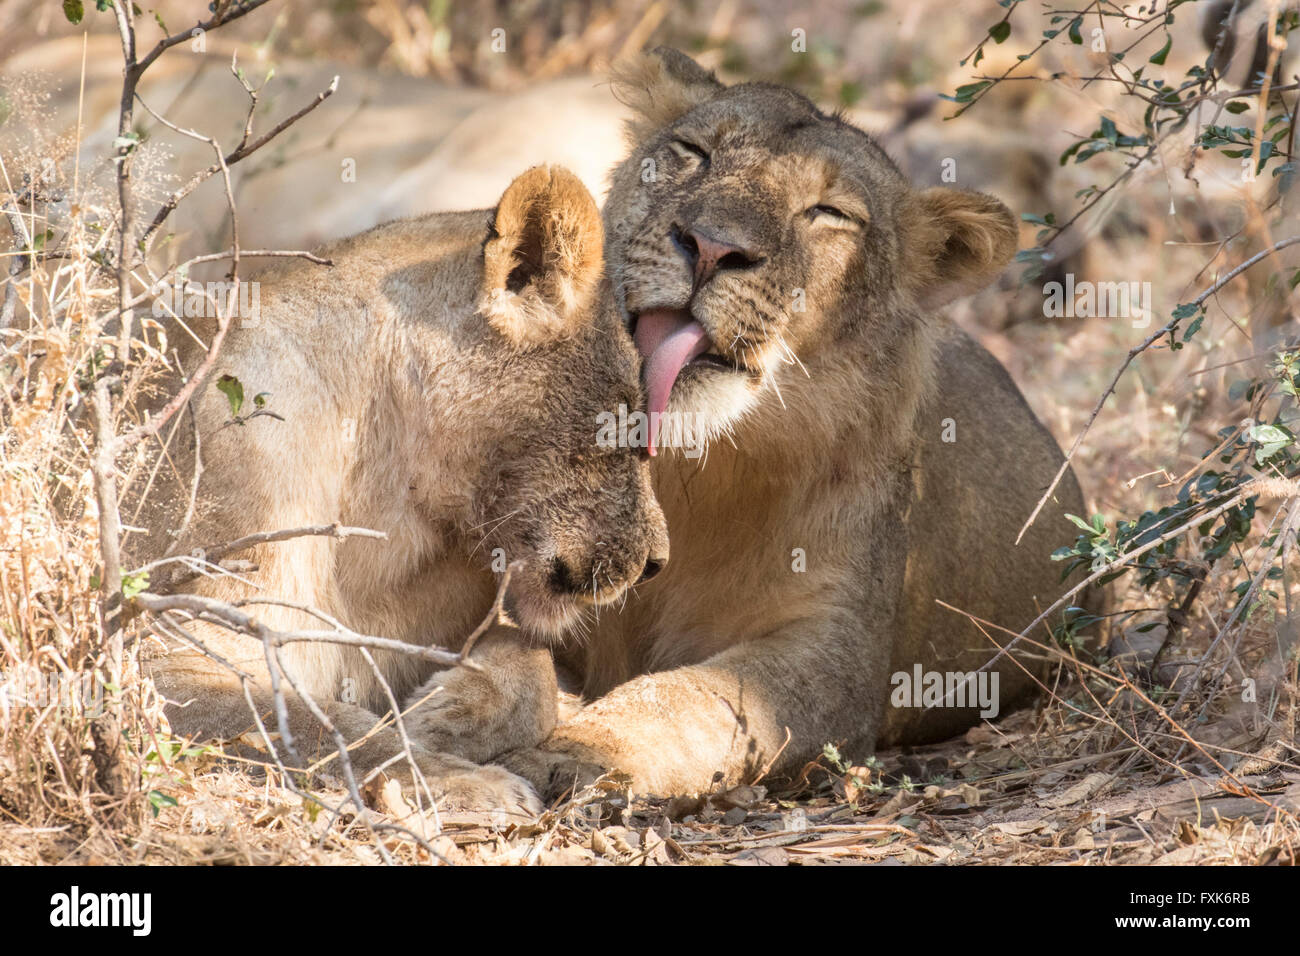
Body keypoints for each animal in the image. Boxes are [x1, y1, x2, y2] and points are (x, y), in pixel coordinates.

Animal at [138, 166, 667, 814]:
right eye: (627, 426)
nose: (658, 563)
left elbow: (532, 664)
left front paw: (438, 717)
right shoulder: (167, 638)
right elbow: (317, 722)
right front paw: (459, 779)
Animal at [465, 50, 1095, 799]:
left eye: (828, 213)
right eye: (693, 152)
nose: (710, 247)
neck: (690, 471)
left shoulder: (835, 653)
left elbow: (688, 698)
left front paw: (574, 751)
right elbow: (501, 659)